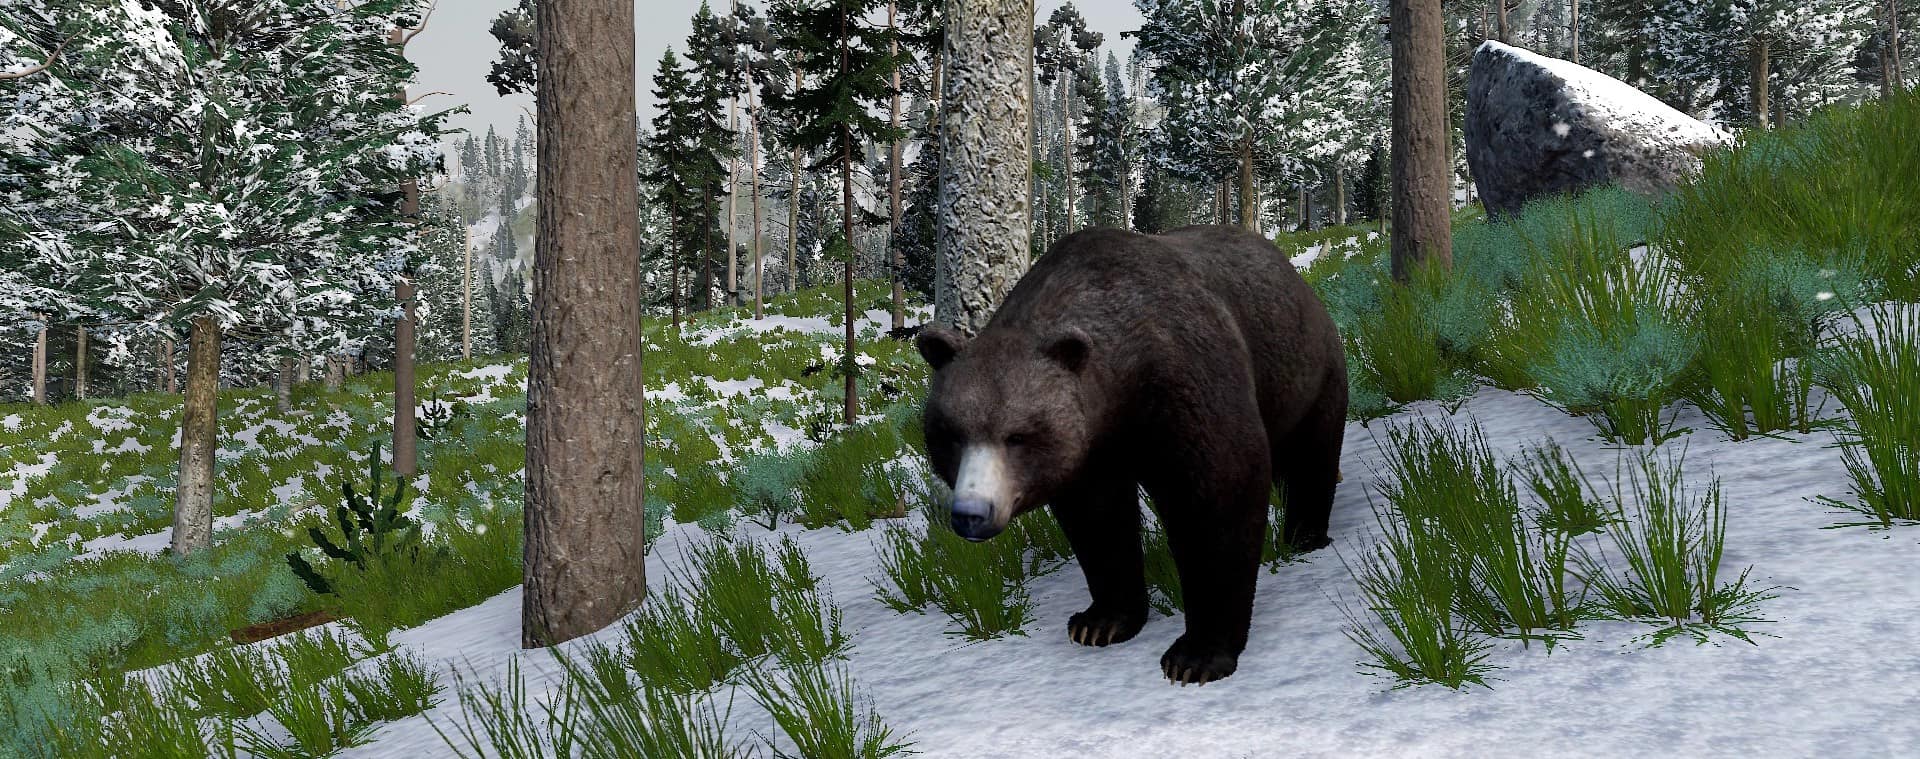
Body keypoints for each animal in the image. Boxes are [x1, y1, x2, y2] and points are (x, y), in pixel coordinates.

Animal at [914, 224, 1348, 686]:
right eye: (950, 435)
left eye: (1017, 436)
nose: (971, 514)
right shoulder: (1092, 452)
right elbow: (1099, 523)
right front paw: (1098, 622)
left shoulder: (1186, 380)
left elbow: (1217, 496)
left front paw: (1195, 656)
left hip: (1308, 371)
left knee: (1312, 455)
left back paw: (1304, 536)